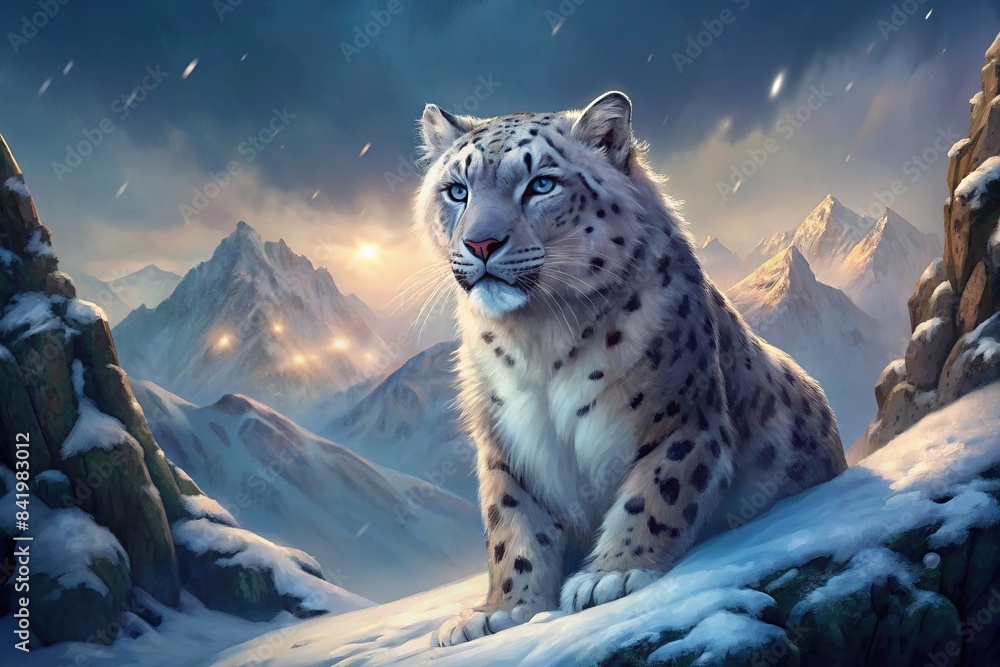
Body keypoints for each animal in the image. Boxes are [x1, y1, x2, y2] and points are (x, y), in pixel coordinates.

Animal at [413, 91, 848, 647]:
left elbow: (656, 493)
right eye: (457, 191)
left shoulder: (683, 419)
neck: (536, 340)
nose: (481, 244)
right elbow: (511, 528)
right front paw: (501, 611)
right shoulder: (504, 451)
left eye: (541, 184)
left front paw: (610, 575)